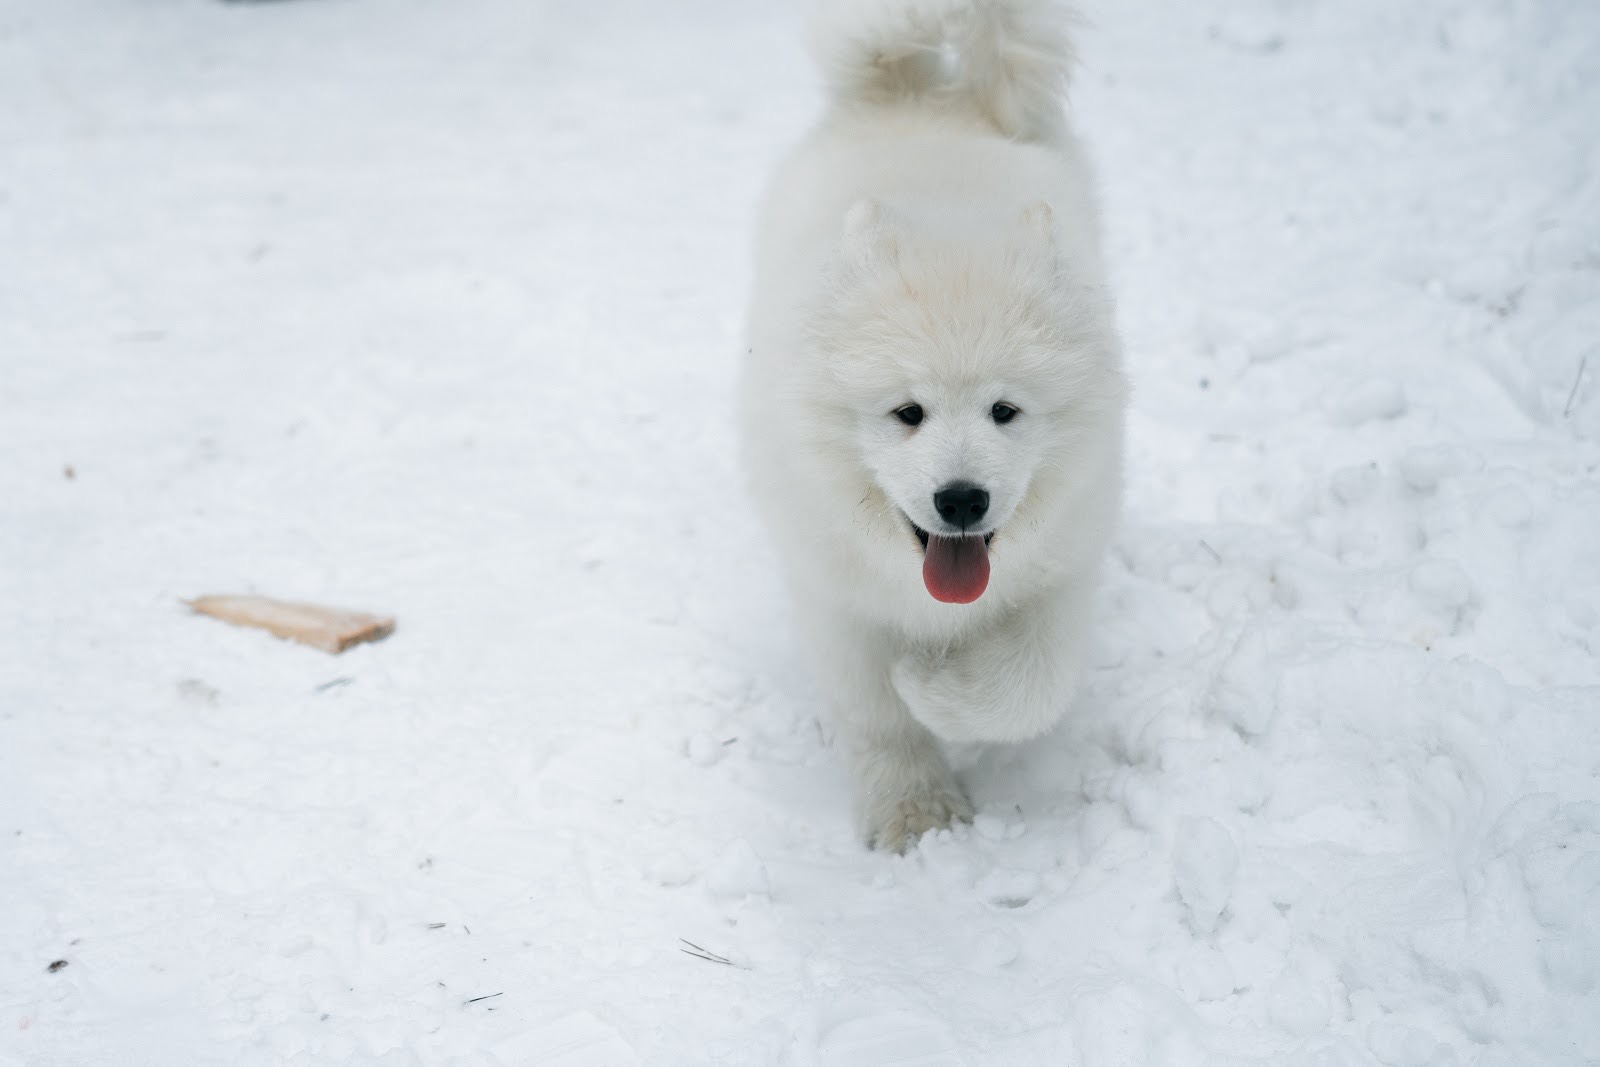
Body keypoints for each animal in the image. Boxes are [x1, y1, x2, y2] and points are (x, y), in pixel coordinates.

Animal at [739, 0, 1126, 851]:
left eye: (1005, 410)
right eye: (907, 412)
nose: (961, 500)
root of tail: (919, 92)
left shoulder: (1061, 568)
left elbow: (1030, 681)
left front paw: (935, 685)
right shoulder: (837, 595)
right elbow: (877, 713)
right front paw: (915, 816)